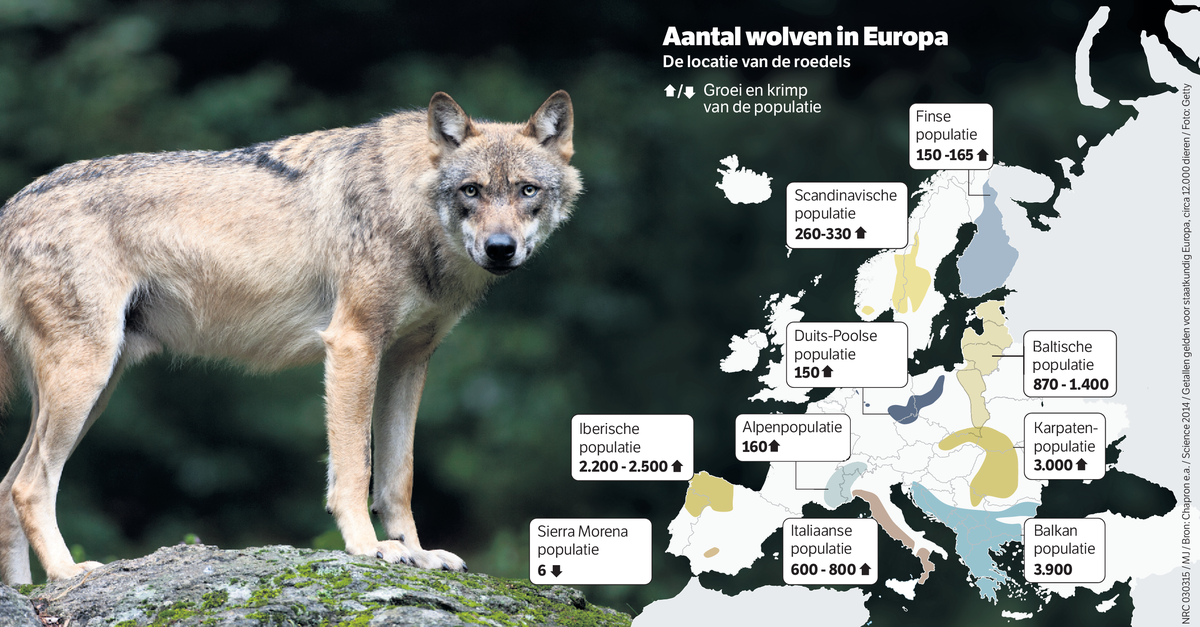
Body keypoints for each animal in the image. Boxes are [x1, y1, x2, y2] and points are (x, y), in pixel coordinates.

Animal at [0, 91, 581, 583]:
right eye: (472, 190)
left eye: (527, 190)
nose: (501, 248)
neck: (410, 209)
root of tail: (11, 205)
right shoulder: (353, 344)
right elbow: (355, 471)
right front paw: (369, 548)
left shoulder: (408, 361)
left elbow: (398, 478)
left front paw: (416, 553)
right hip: (86, 380)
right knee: (29, 486)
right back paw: (68, 575)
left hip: (96, 389)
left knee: (8, 485)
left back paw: (26, 592)